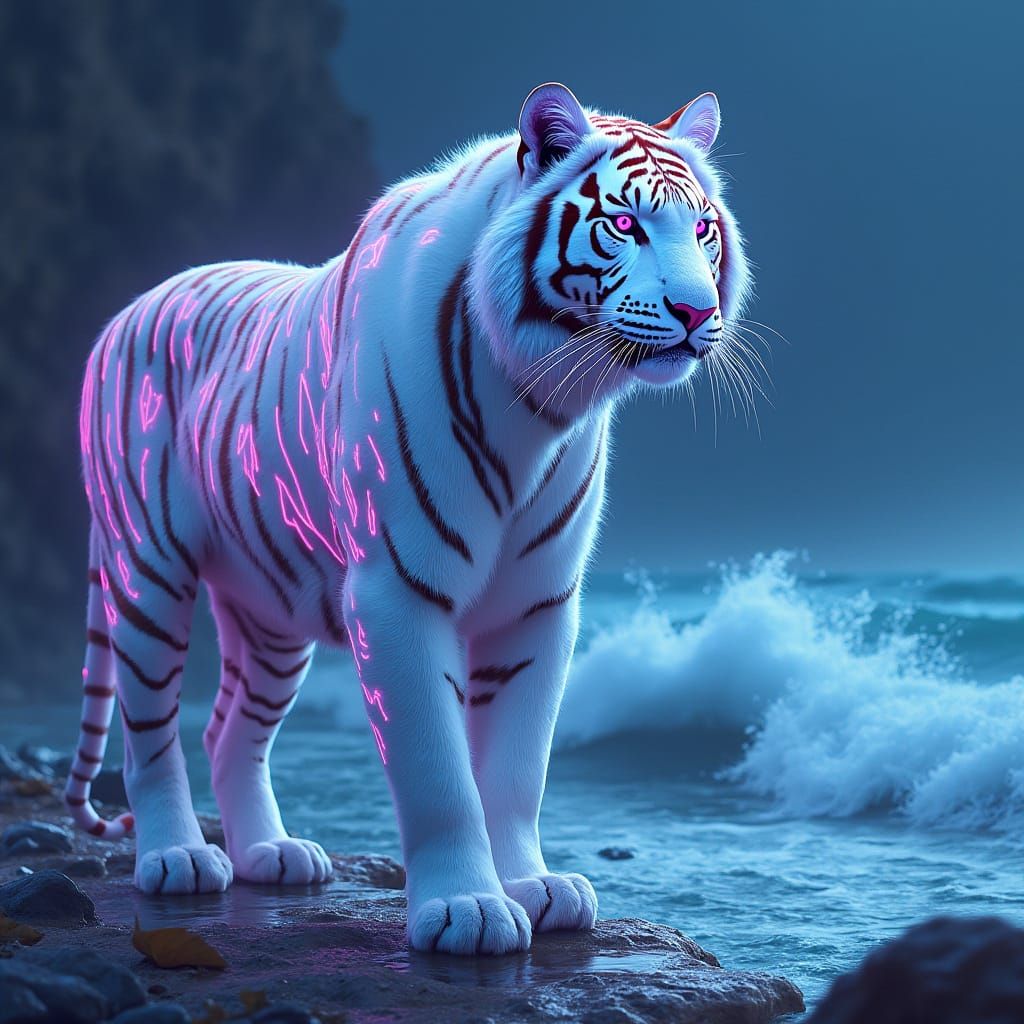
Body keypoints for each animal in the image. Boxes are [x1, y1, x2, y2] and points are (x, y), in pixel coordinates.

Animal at [66, 82, 752, 955]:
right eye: (626, 224)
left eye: (702, 228)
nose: (696, 312)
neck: (540, 399)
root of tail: (126, 312)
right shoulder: (397, 591)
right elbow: (438, 772)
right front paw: (467, 909)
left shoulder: (538, 604)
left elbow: (516, 769)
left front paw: (533, 886)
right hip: (148, 570)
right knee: (149, 730)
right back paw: (179, 859)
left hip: (271, 608)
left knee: (229, 733)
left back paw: (271, 855)